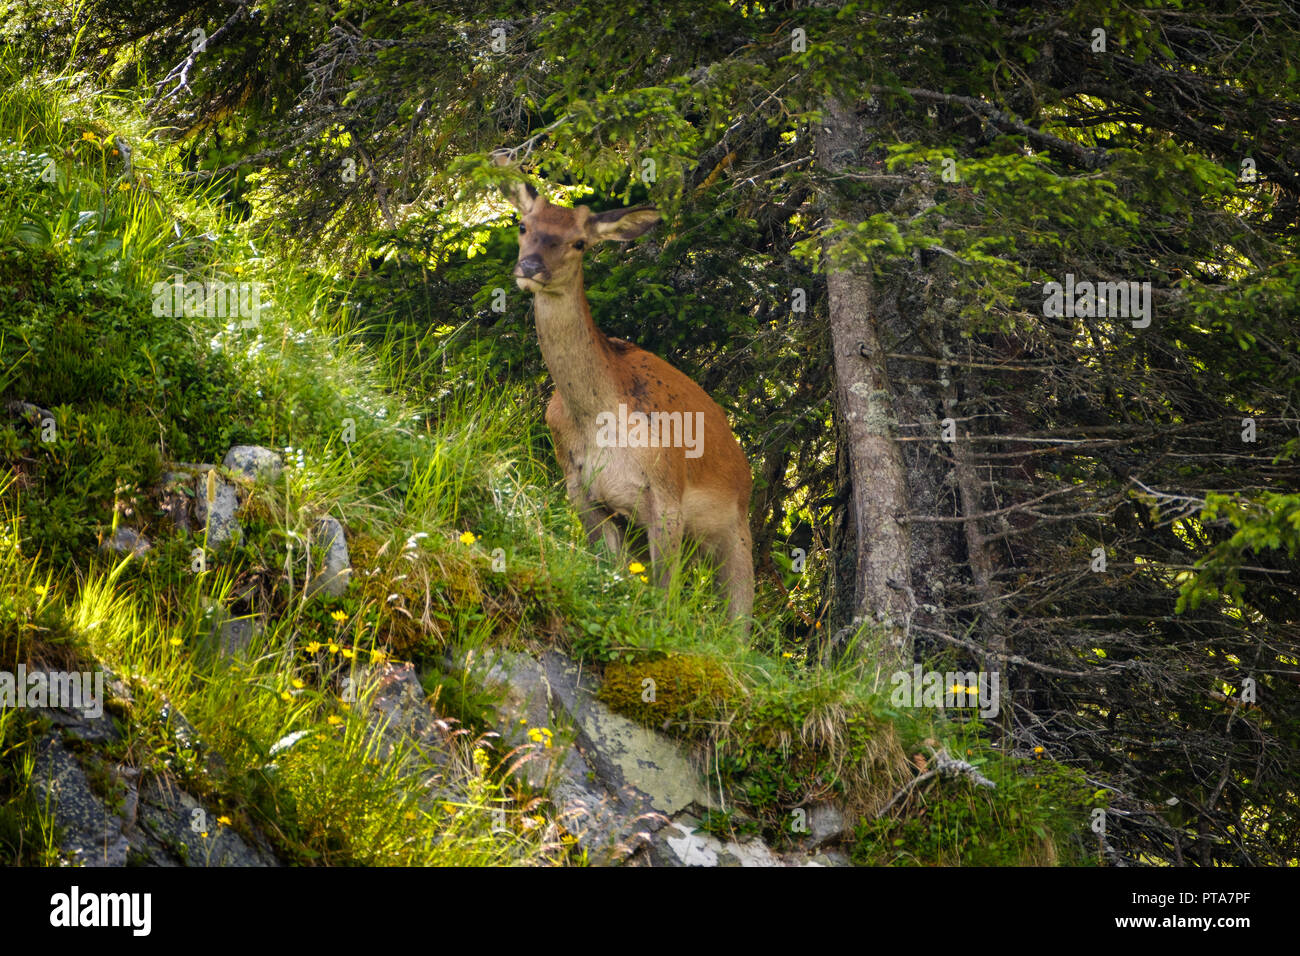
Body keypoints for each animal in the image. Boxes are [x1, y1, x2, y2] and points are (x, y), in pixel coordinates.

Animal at [495, 157, 754, 627]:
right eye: (523, 225)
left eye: (580, 242)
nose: (531, 267)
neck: (599, 418)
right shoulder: (580, 487)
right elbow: (612, 575)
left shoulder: (667, 489)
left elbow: (666, 596)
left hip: (735, 529)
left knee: (739, 622)